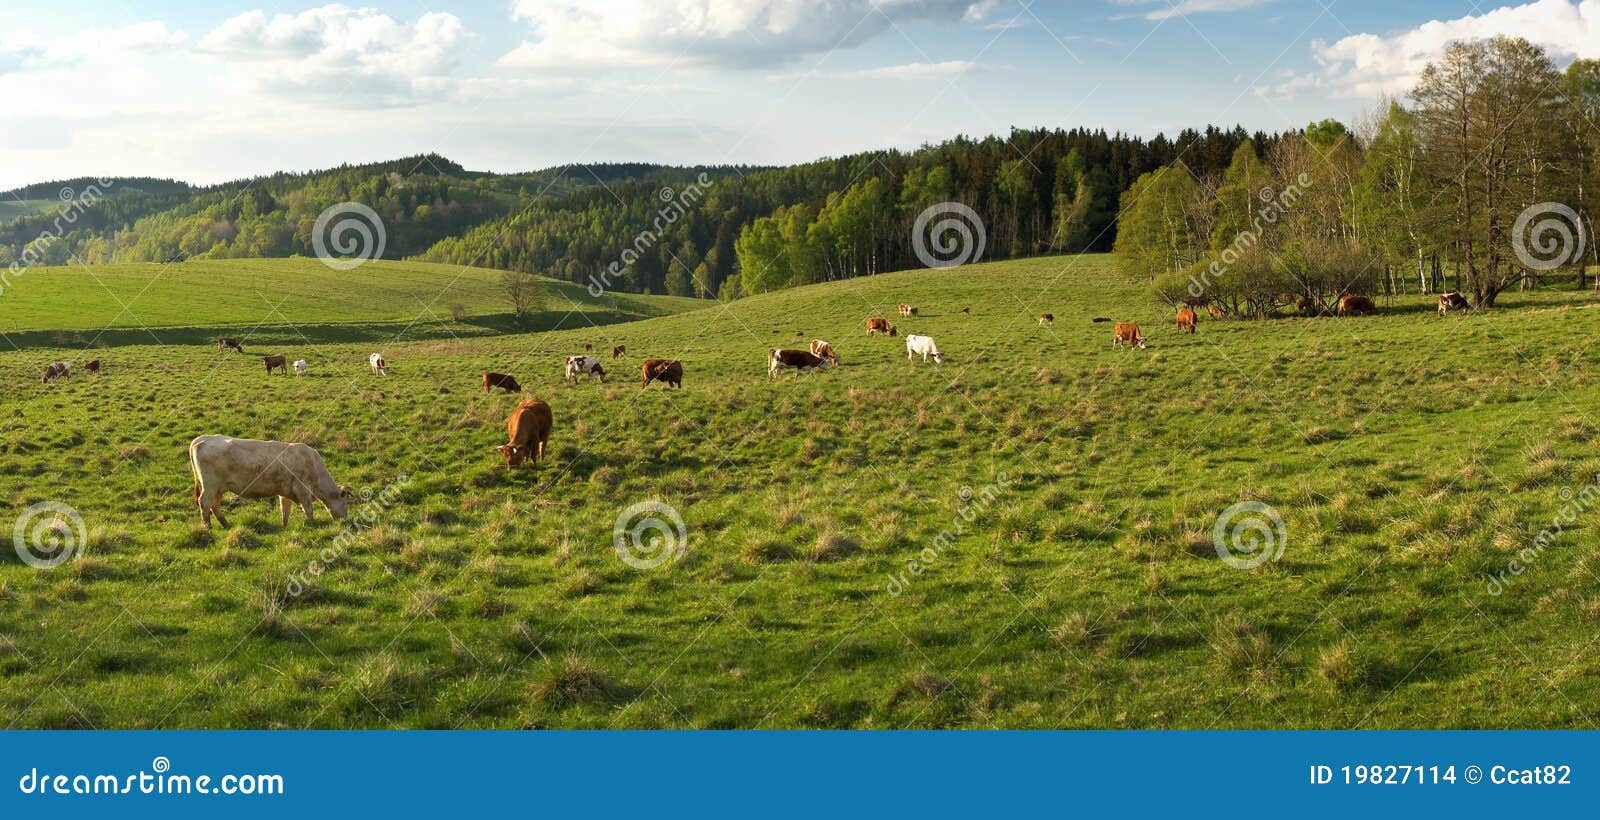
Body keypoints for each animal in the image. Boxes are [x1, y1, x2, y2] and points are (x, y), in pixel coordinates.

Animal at [188, 435, 352, 529]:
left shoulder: (285, 492)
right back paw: (208, 527)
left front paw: (284, 526)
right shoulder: (303, 491)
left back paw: (225, 524)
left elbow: (285, 510)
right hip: (210, 486)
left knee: (215, 505)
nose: (345, 520)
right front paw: (313, 524)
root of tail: (202, 438)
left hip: (218, 488)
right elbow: (308, 510)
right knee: (204, 503)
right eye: (346, 503)